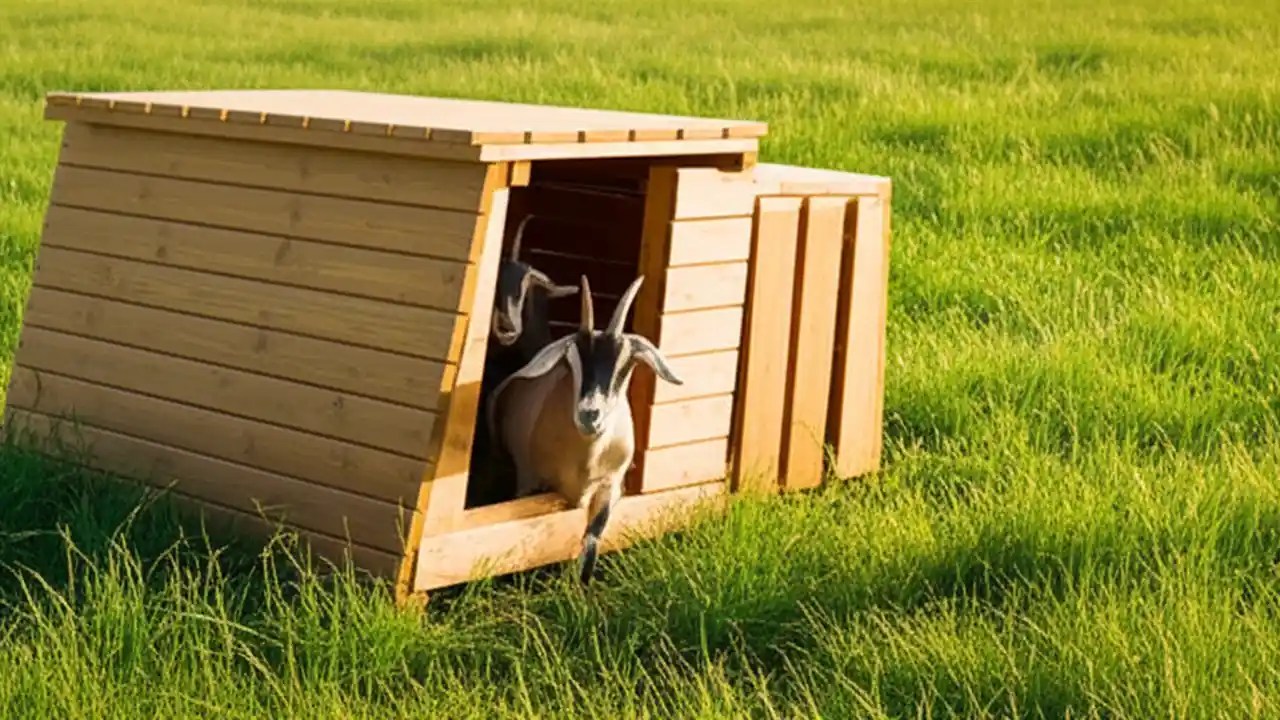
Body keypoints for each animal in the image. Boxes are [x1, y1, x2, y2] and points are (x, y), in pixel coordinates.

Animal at [486, 274, 684, 584]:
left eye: (625, 364)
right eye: (571, 360)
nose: (590, 415)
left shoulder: (610, 486)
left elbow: (591, 539)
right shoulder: (529, 481)